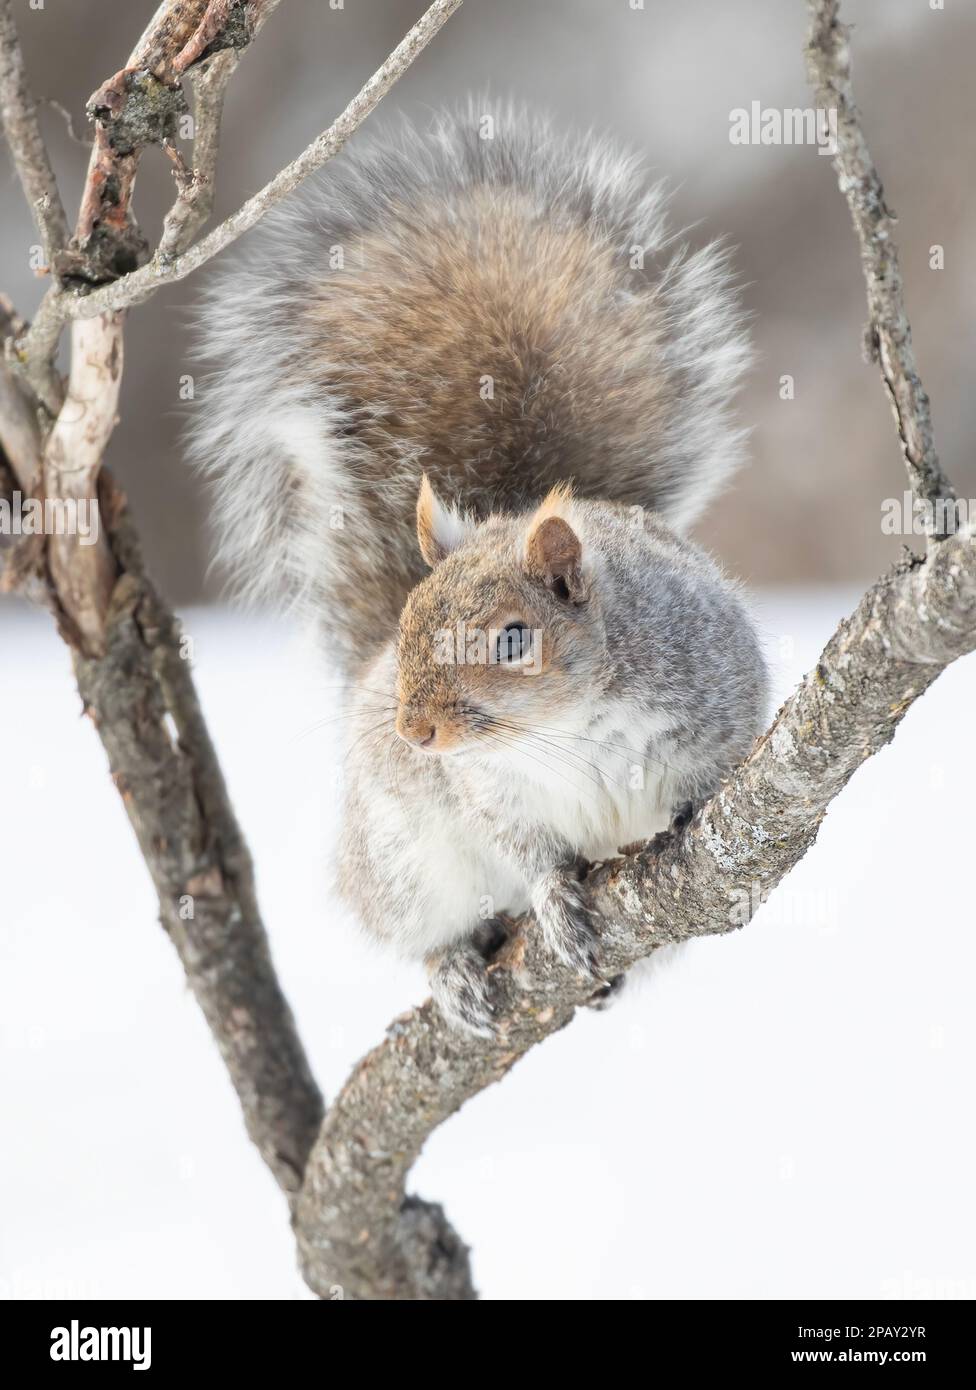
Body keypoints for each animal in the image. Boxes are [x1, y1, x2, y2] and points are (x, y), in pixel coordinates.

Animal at [190, 105, 769, 1035]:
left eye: (511, 642)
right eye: (407, 622)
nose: (415, 734)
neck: (566, 727)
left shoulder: (716, 702)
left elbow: (711, 773)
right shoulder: (490, 795)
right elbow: (529, 853)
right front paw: (556, 900)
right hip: (404, 865)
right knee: (428, 926)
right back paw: (456, 969)